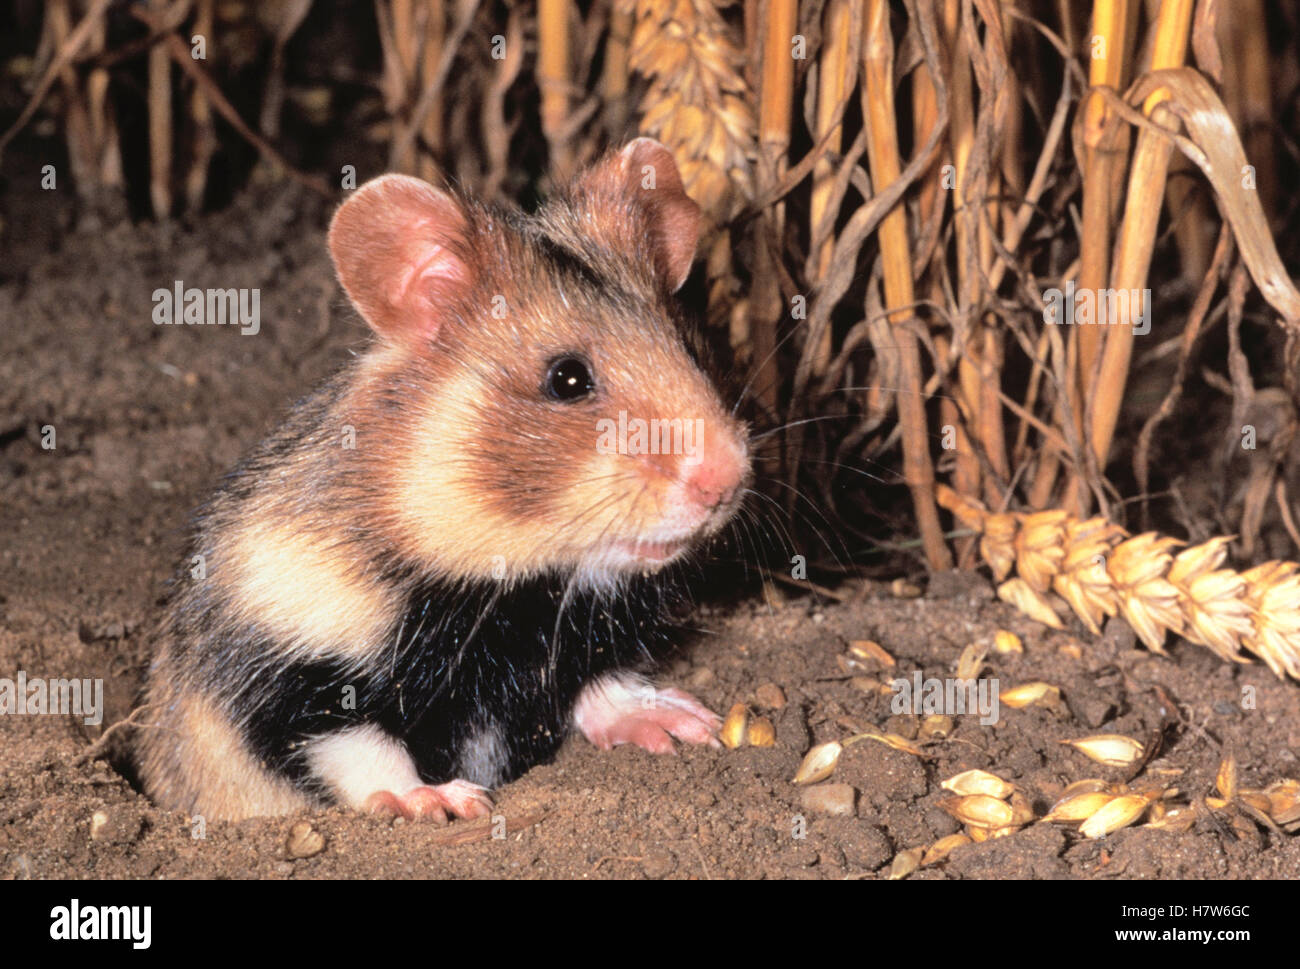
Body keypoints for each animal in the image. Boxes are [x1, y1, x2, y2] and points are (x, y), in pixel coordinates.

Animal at [135, 139, 752, 823]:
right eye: (567, 379)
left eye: (691, 348)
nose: (729, 481)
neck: (510, 585)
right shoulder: (285, 666)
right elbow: (357, 748)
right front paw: (442, 801)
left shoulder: (575, 636)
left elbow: (597, 683)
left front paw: (681, 723)